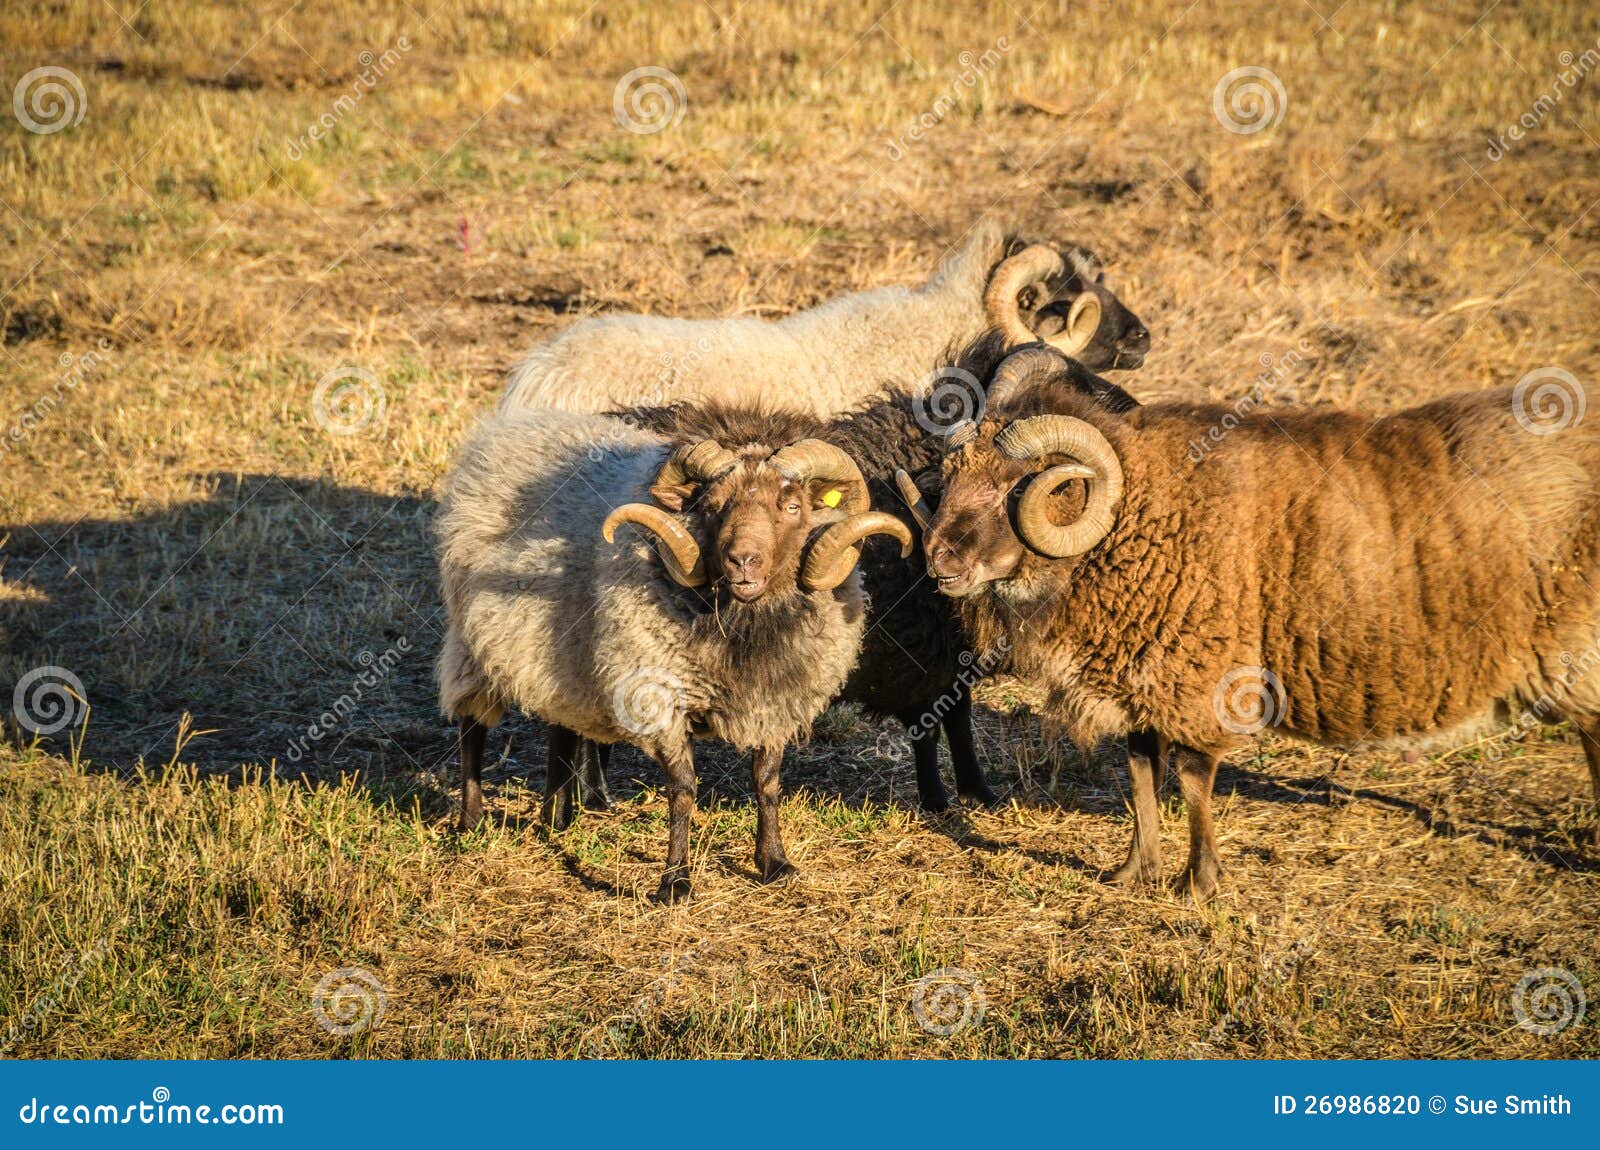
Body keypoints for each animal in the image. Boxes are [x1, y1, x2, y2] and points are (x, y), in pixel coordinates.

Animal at [436, 404, 912, 902]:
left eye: (792, 506)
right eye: (711, 506)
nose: (743, 561)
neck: (743, 627)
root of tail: (508, 426)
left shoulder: (775, 703)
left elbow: (767, 782)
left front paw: (774, 863)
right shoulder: (660, 699)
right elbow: (682, 790)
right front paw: (675, 882)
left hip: (558, 657)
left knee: (560, 725)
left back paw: (557, 820)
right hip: (472, 643)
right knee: (471, 727)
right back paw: (470, 822)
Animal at [920, 346, 1600, 900]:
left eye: (1014, 485)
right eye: (951, 475)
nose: (938, 560)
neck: (1135, 514)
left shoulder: (1197, 676)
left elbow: (1193, 783)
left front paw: (1198, 884)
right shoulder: (1141, 678)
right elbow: (1141, 776)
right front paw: (1134, 872)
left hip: (1578, 656)